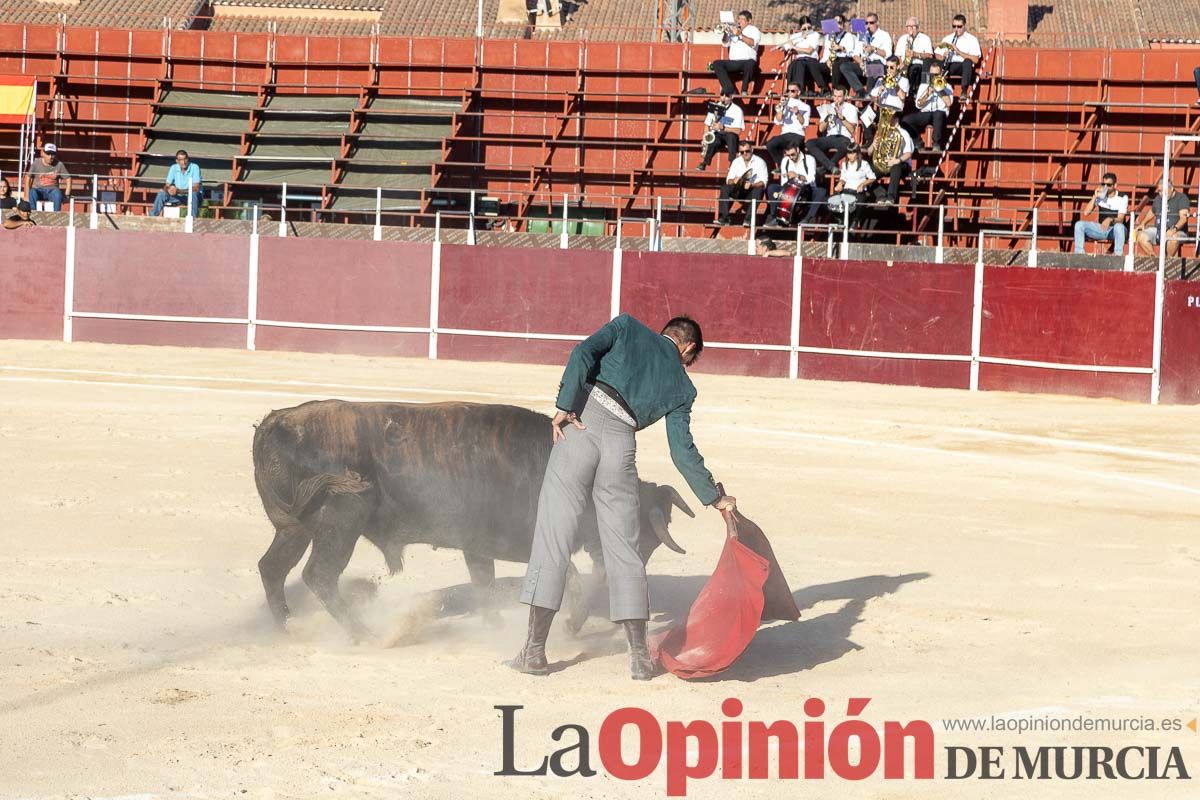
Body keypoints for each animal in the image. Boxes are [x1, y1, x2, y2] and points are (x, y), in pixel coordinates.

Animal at [253, 398, 696, 638]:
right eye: (640, 534)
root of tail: (277, 421)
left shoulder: (479, 546)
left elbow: (485, 585)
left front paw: (498, 624)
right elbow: (565, 578)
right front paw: (569, 625)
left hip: (297, 528)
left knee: (272, 567)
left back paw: (285, 627)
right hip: (341, 519)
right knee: (319, 575)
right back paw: (366, 633)